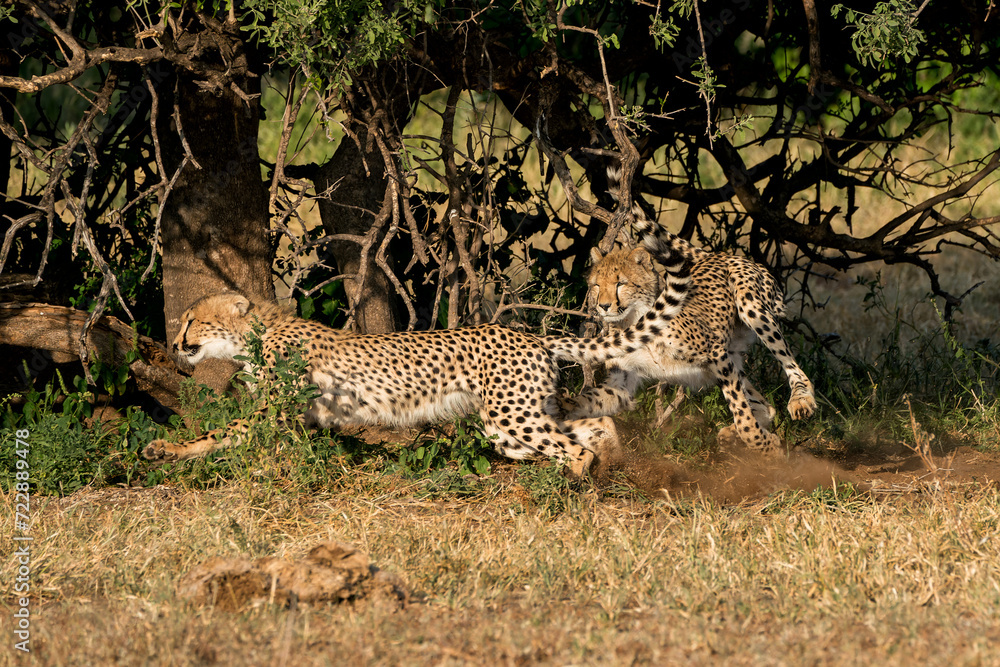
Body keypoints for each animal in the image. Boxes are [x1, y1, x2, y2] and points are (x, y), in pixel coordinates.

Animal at [143, 259, 691, 479]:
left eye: (192, 320)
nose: (174, 340)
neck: (256, 335)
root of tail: (525, 333)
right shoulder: (301, 414)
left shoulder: (274, 408)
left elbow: (223, 432)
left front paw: (168, 450)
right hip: (513, 419)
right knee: (594, 426)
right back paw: (611, 466)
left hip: (511, 416)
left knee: (572, 449)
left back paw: (570, 488)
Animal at [560, 169, 817, 454]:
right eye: (596, 285)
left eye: (620, 284)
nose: (603, 305)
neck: (633, 320)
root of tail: (716, 255)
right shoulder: (622, 380)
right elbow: (591, 398)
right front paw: (562, 406)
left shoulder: (716, 354)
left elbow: (740, 410)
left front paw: (763, 445)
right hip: (729, 358)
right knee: (765, 406)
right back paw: (733, 433)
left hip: (750, 305)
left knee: (789, 364)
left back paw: (800, 401)